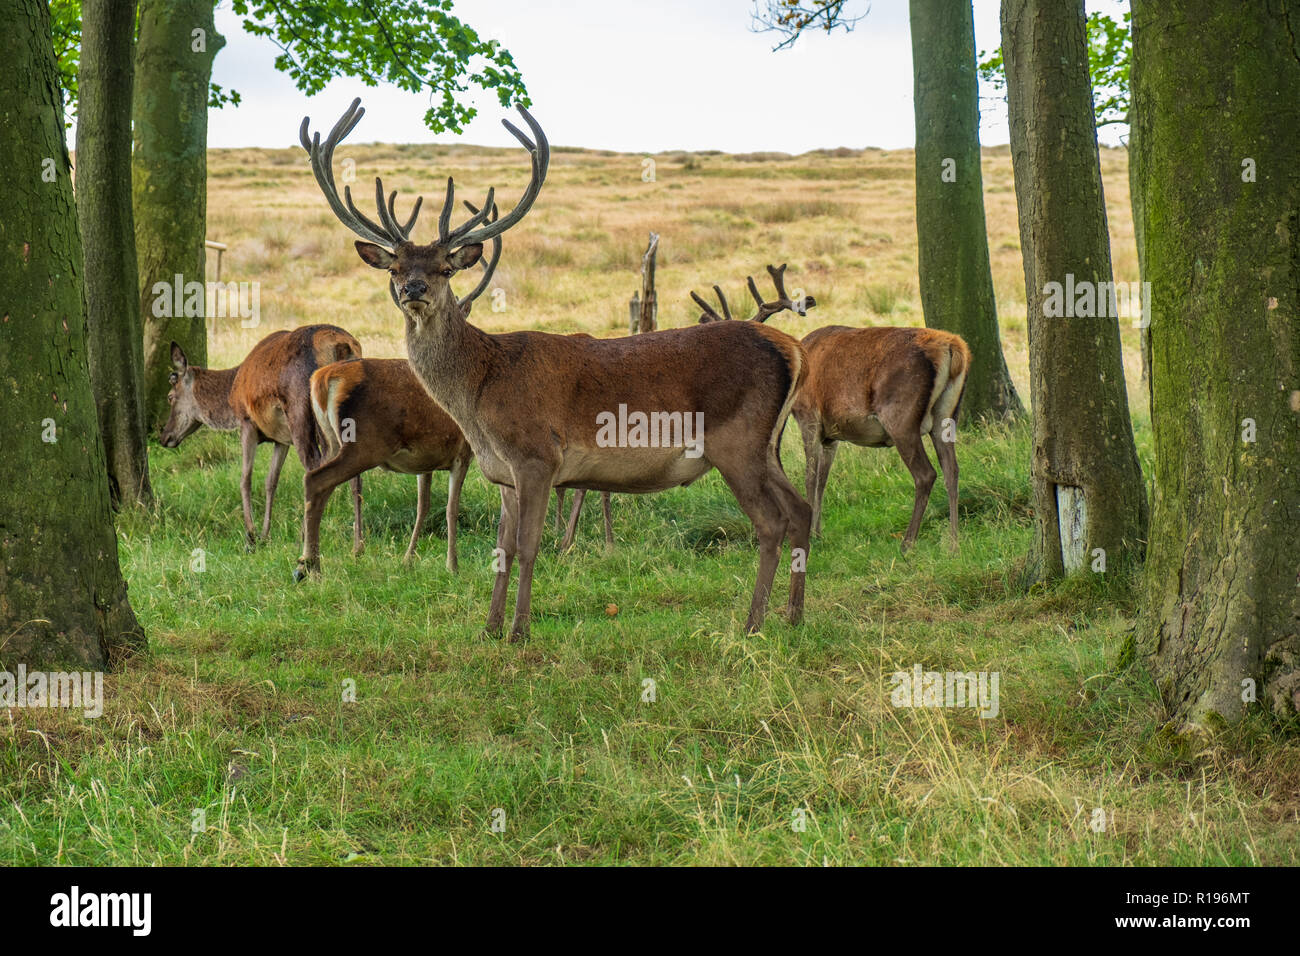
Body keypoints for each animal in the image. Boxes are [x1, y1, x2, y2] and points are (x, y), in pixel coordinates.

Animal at [159, 325, 362, 548]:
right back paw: (358, 544)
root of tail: (341, 346)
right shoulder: (281, 439)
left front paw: (251, 534)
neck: (231, 394)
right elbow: (270, 481)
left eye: (170, 397)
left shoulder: (247, 423)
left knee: (314, 468)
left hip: (300, 411)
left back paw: (305, 538)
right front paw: (265, 534)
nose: (164, 436)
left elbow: (245, 478)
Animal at [294, 357, 473, 580]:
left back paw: (306, 564)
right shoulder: (463, 452)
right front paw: (452, 566)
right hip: (364, 445)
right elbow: (451, 509)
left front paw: (407, 561)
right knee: (314, 480)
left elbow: (423, 506)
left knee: (320, 486)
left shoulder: (426, 463)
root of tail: (322, 378)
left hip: (332, 442)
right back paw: (311, 566)